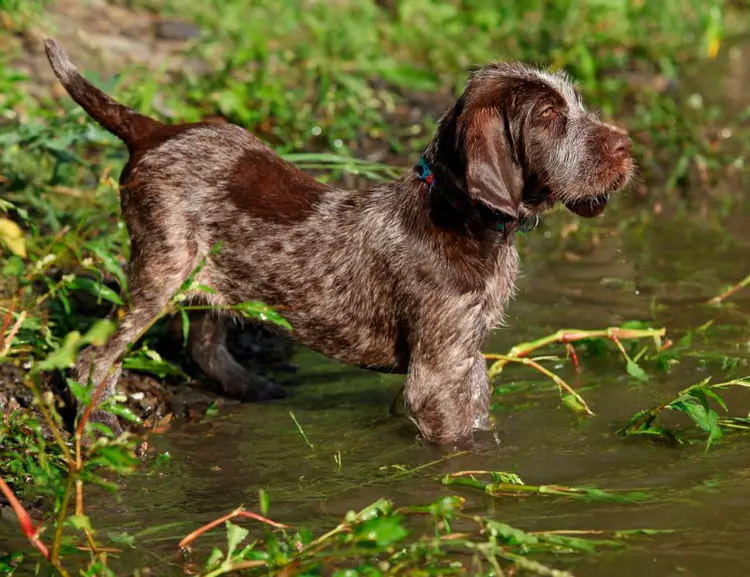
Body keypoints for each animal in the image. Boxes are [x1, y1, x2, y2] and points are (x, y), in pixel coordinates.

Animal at [42, 39, 636, 446]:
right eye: (549, 117)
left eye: (575, 105)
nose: (627, 146)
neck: (461, 215)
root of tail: (154, 131)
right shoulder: (438, 372)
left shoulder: (466, 359)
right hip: (162, 269)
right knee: (96, 358)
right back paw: (95, 429)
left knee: (204, 343)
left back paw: (256, 388)